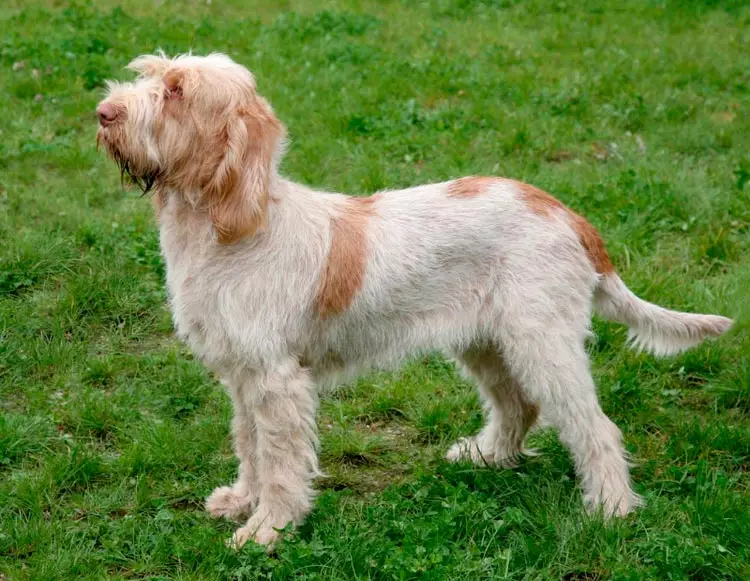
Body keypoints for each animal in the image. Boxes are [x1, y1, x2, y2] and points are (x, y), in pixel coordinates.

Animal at [97, 52, 736, 548]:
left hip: (544, 345)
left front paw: (267, 531)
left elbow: (280, 463)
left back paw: (611, 509)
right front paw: (241, 501)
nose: (103, 114)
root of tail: (566, 213)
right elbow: (250, 446)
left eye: (176, 91)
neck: (229, 228)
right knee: (517, 407)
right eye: (149, 75)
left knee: (595, 428)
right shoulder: (242, 375)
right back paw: (487, 456)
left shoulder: (276, 380)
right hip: (486, 343)